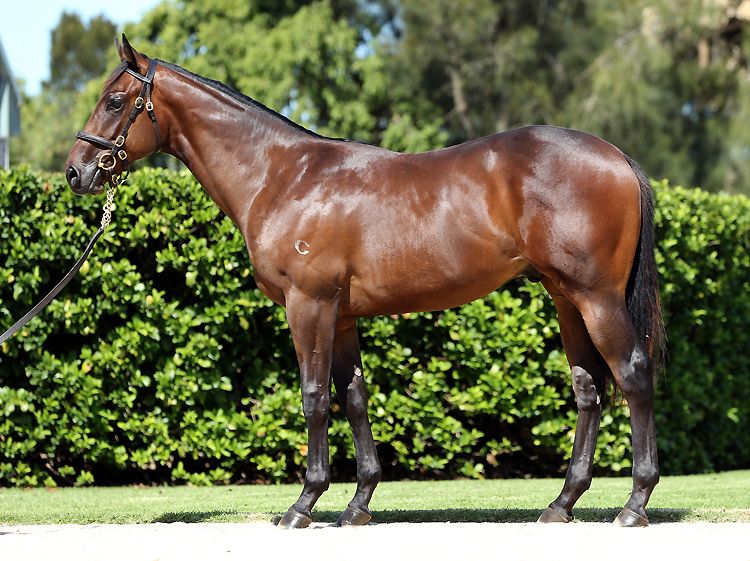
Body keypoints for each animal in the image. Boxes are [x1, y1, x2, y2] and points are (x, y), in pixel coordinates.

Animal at [66, 35, 665, 528]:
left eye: (115, 102)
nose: (76, 171)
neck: (282, 176)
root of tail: (616, 157)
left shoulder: (308, 306)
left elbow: (313, 398)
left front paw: (303, 504)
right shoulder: (342, 316)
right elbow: (354, 399)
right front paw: (357, 505)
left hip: (596, 299)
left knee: (633, 376)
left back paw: (634, 504)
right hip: (566, 300)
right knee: (589, 388)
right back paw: (562, 503)